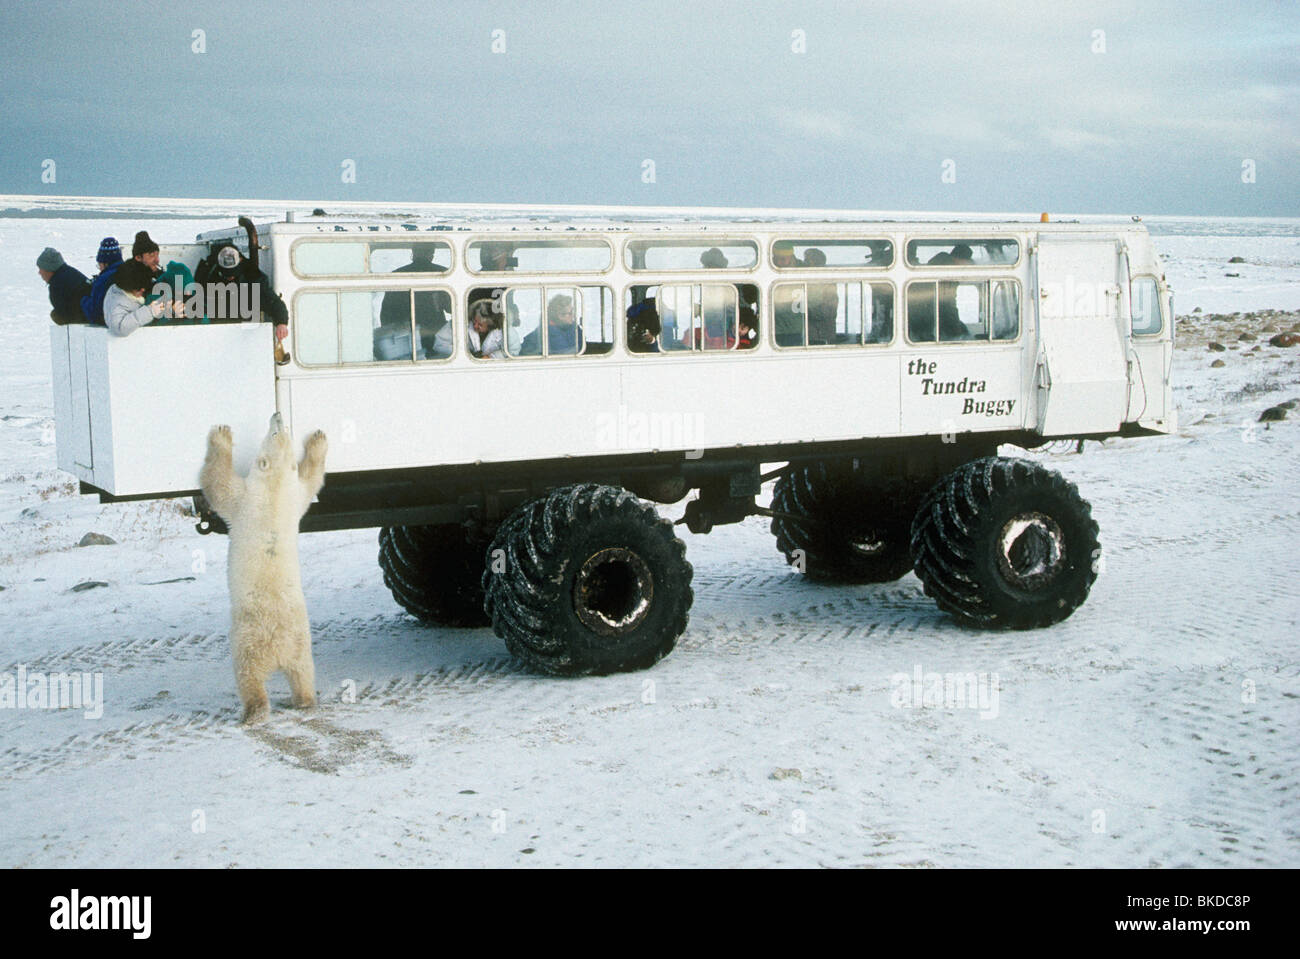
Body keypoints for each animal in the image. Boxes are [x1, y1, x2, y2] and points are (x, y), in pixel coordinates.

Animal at [199, 412, 327, 724]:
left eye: (275, 432)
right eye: (283, 431)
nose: (277, 414)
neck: (275, 488)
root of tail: (278, 651)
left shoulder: (243, 498)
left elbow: (217, 483)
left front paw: (222, 435)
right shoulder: (295, 496)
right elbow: (311, 479)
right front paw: (318, 440)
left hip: (247, 641)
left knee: (249, 676)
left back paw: (253, 712)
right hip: (302, 642)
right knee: (303, 671)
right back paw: (305, 700)